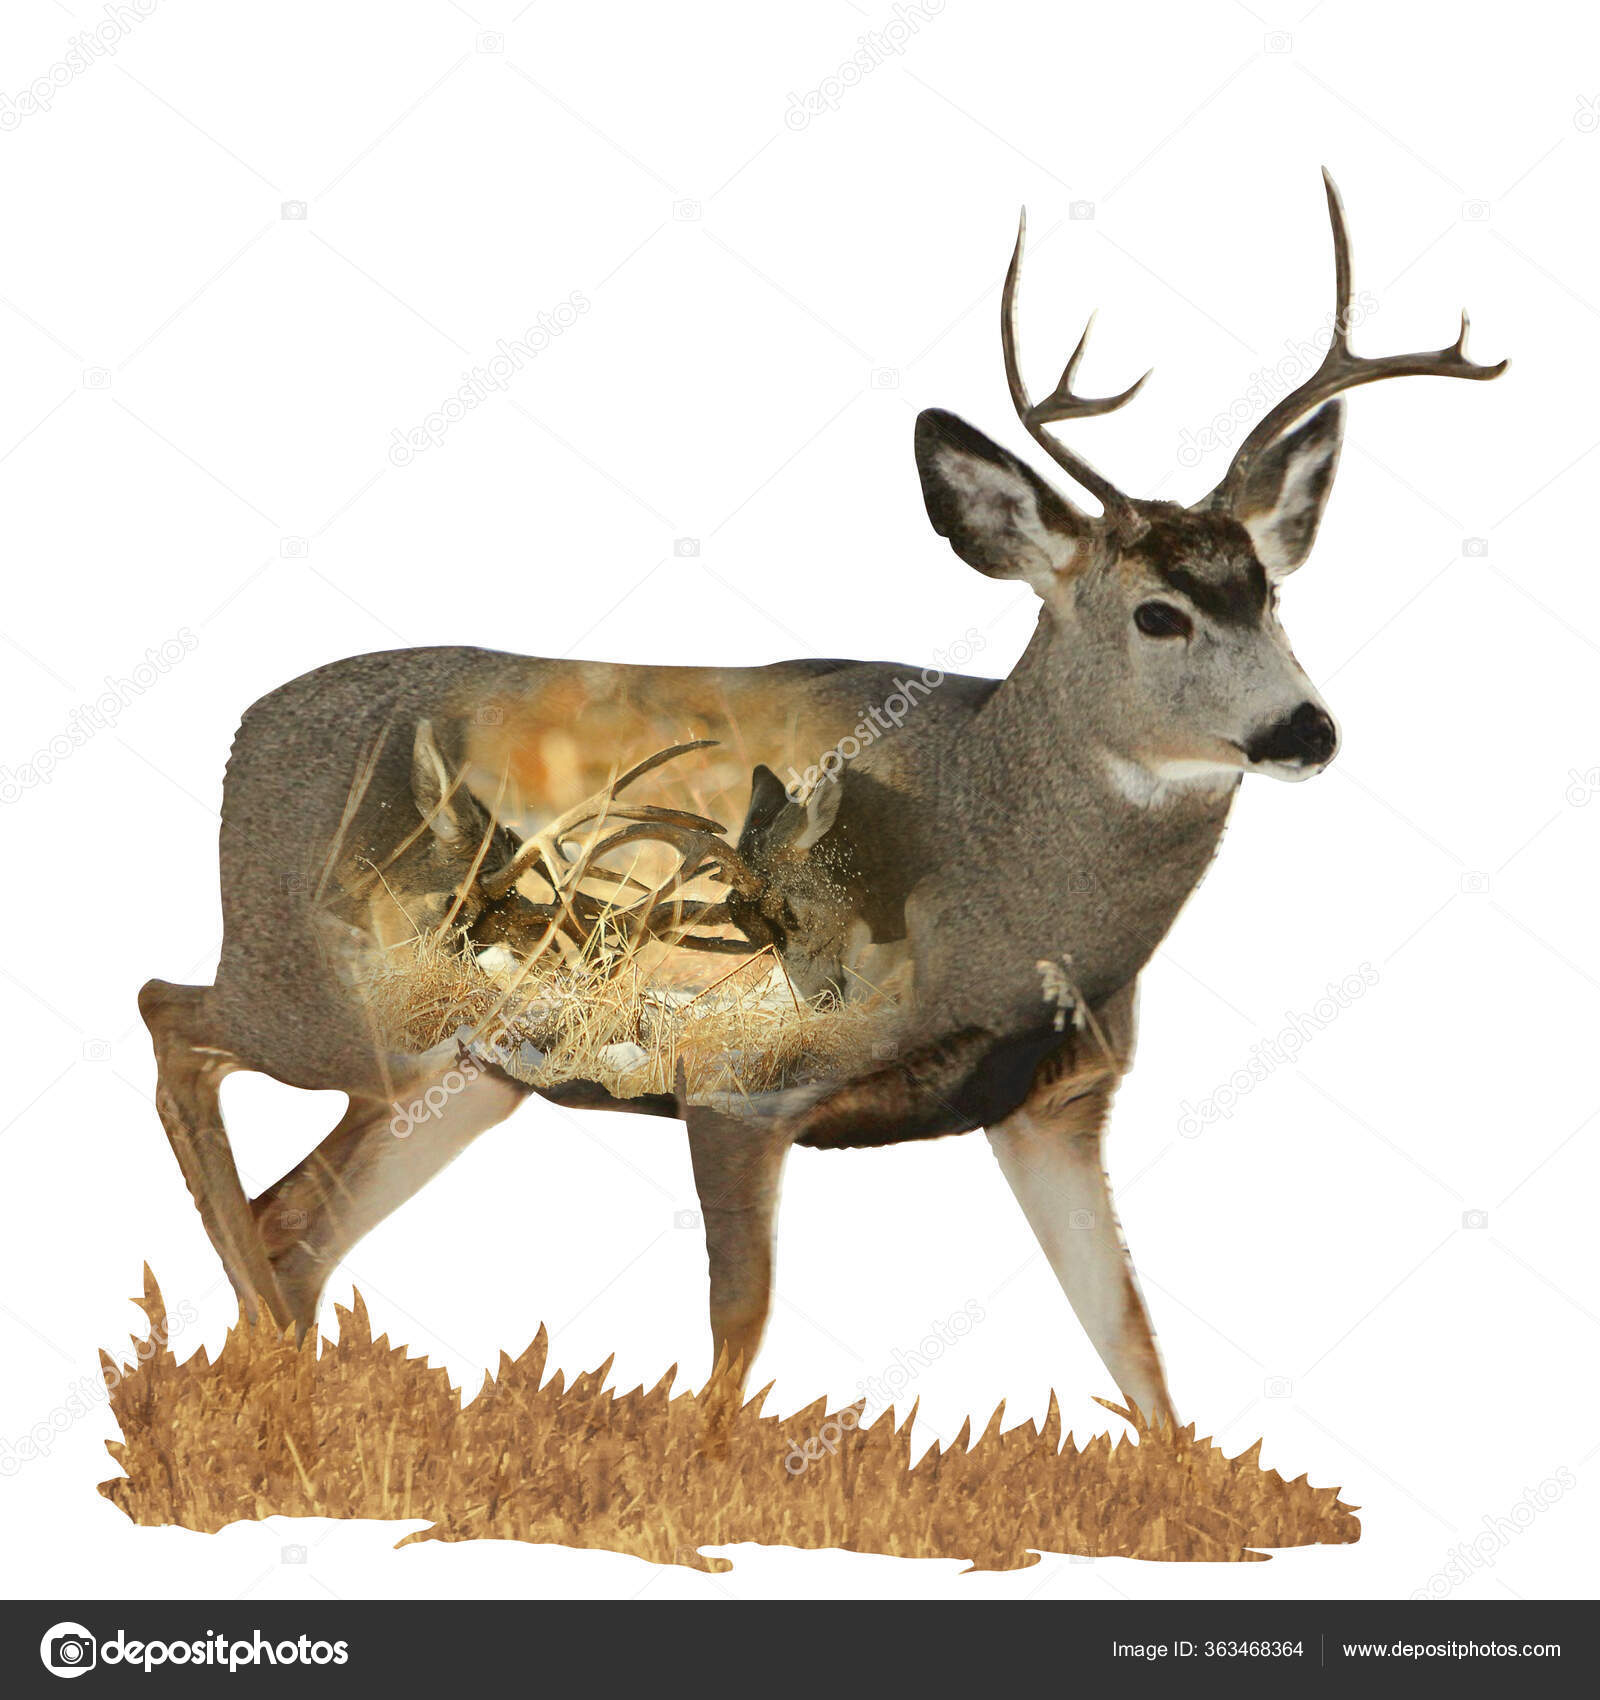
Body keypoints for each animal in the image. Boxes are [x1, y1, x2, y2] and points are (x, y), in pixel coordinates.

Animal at [141, 172, 1503, 1424]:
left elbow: (1135, 1345)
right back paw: (264, 1369)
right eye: (1157, 612)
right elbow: (738, 1333)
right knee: (171, 1019)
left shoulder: (1055, 1105)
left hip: (465, 1064)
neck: (994, 877)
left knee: (299, 1213)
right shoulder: (736, 1072)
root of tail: (243, 731)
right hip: (325, 995)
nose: (1304, 727)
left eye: (1269, 593)